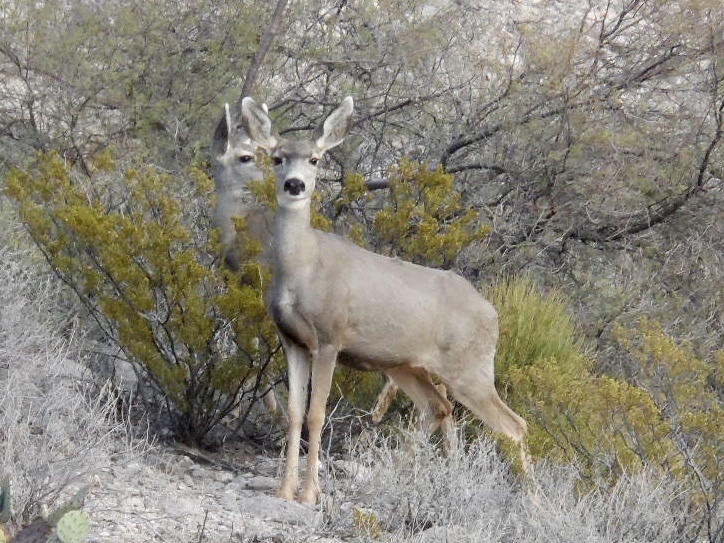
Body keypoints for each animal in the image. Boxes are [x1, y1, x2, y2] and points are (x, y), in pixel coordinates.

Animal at [240, 96, 529, 505]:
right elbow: (294, 412)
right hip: (407, 366)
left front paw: (309, 494)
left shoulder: (329, 338)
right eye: (278, 157)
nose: (294, 185)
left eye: (315, 159)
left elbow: (316, 414)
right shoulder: (291, 339)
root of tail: (492, 313)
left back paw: (533, 504)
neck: (303, 267)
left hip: (470, 369)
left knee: (515, 426)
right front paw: (284, 490)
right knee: (438, 408)